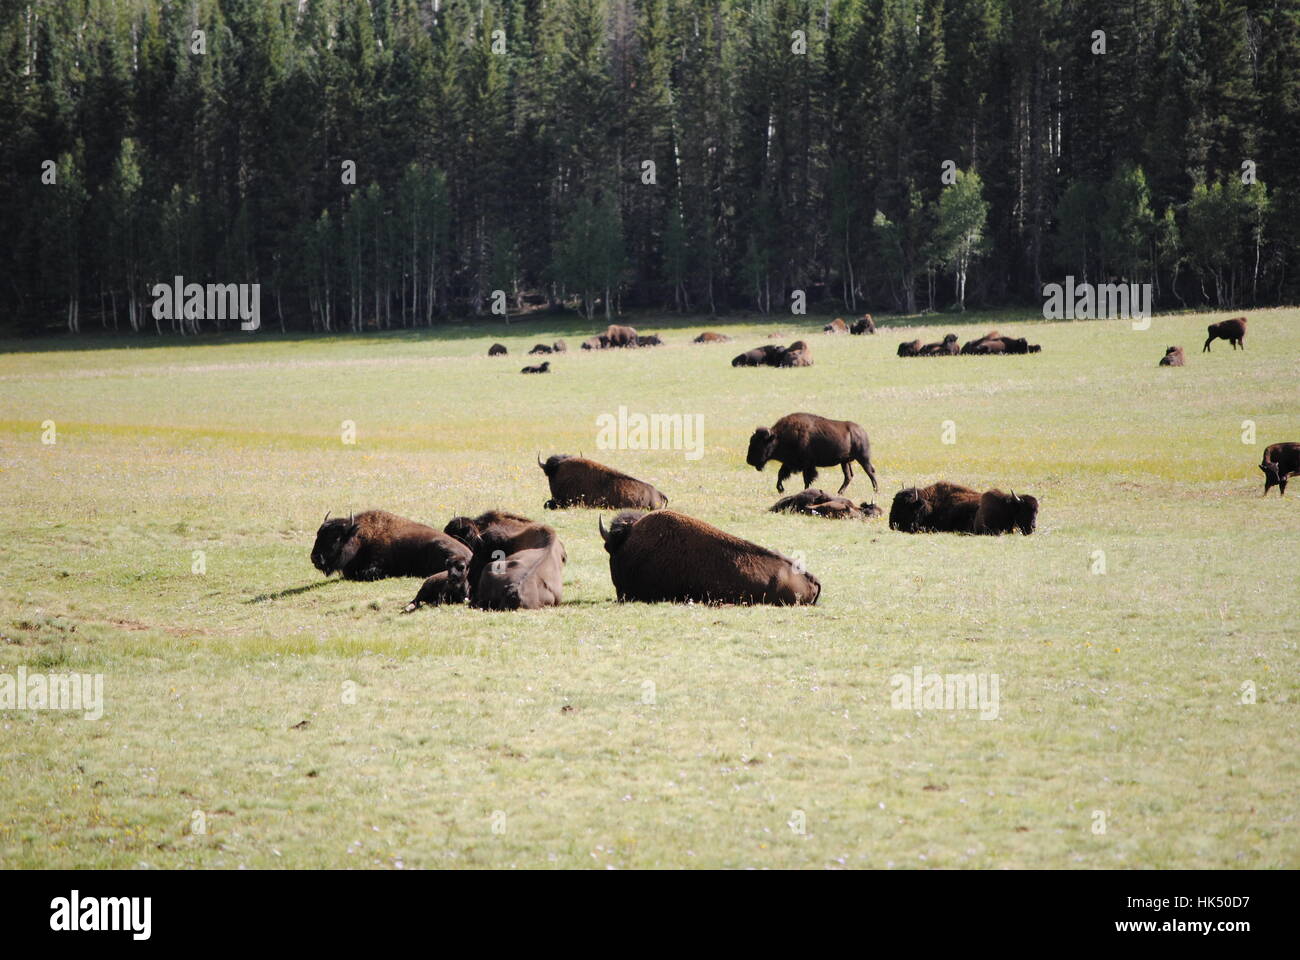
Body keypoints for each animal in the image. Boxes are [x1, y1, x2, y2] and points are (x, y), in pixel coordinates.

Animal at [747, 412, 879, 495]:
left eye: (760, 444)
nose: (749, 460)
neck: (779, 437)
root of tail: (861, 431)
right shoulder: (789, 463)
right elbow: (781, 474)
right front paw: (781, 489)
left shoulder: (807, 465)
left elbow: (806, 479)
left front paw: (804, 491)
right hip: (845, 462)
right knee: (848, 476)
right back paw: (839, 493)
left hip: (863, 458)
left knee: (870, 472)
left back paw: (876, 491)